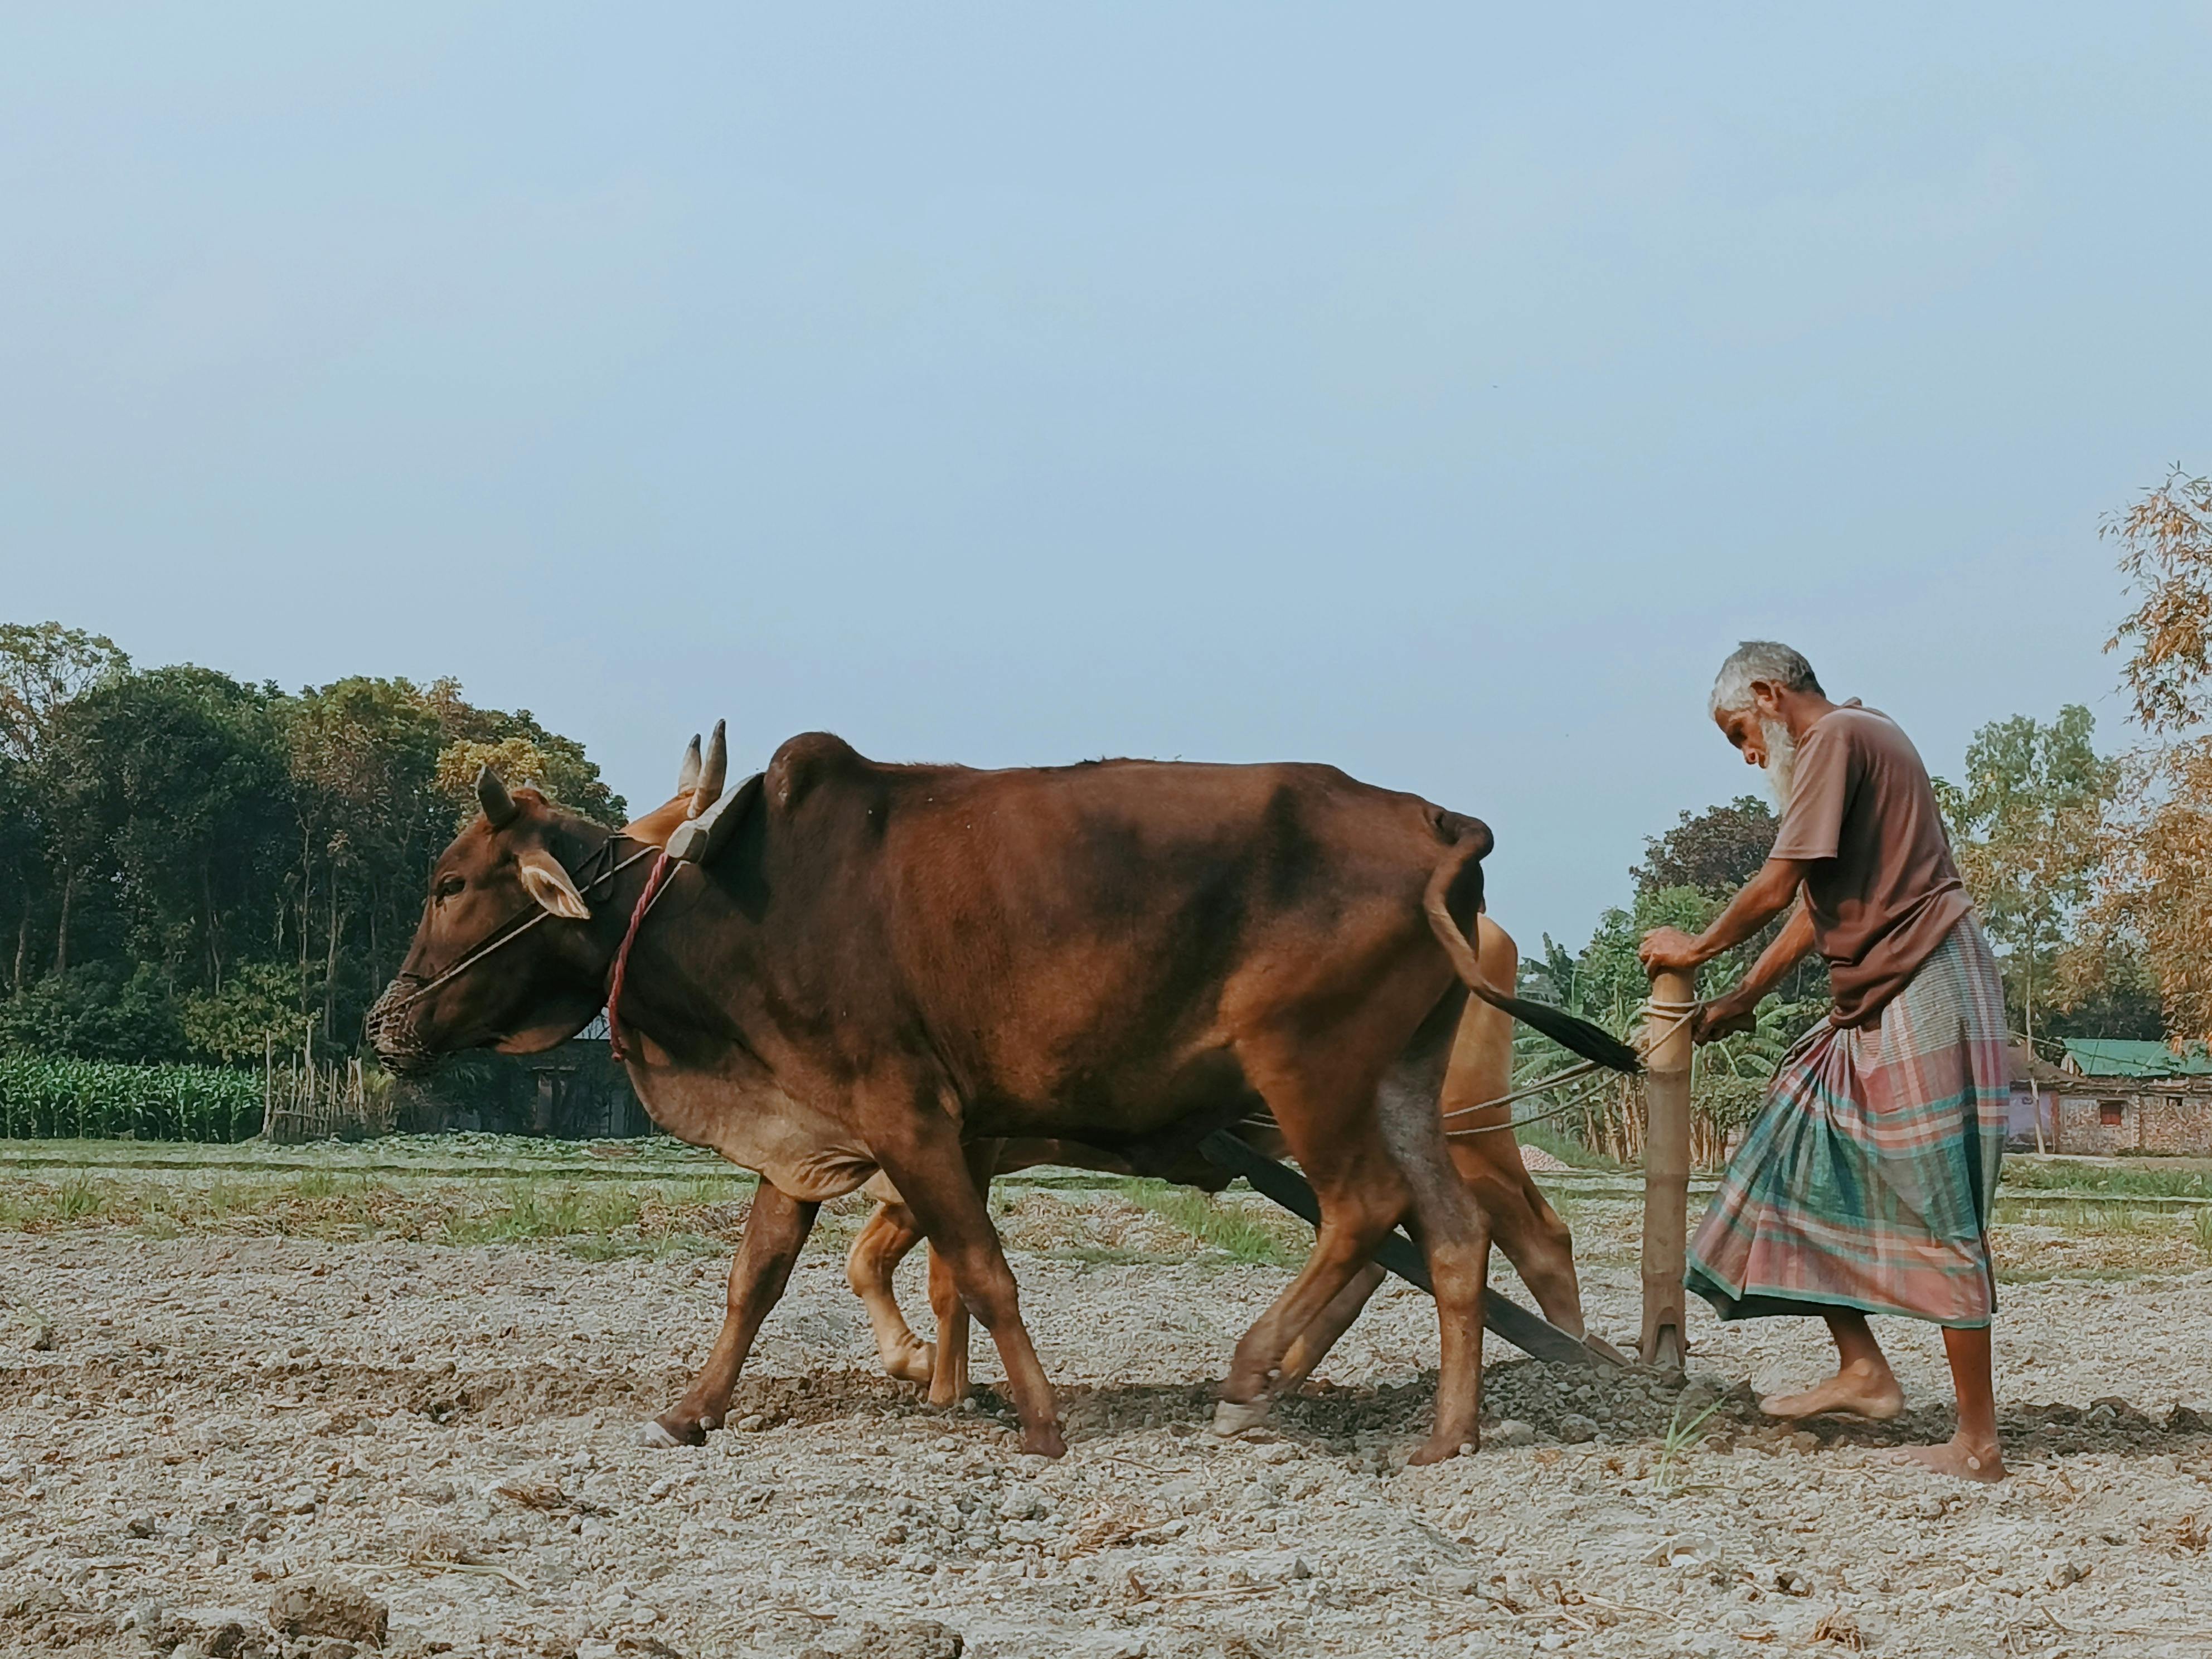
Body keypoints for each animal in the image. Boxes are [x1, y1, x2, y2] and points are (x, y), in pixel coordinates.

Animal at [368, 729, 1637, 1464]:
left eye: (450, 883)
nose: (384, 1024)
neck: (733, 909)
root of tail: (1435, 827)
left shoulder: (910, 1120)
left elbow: (974, 1269)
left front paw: (1029, 1419)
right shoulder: (816, 1130)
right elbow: (761, 1279)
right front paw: (693, 1409)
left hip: (1313, 1073)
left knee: (1381, 1217)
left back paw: (1255, 1378)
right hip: (1399, 1082)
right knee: (1452, 1237)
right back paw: (1447, 1432)